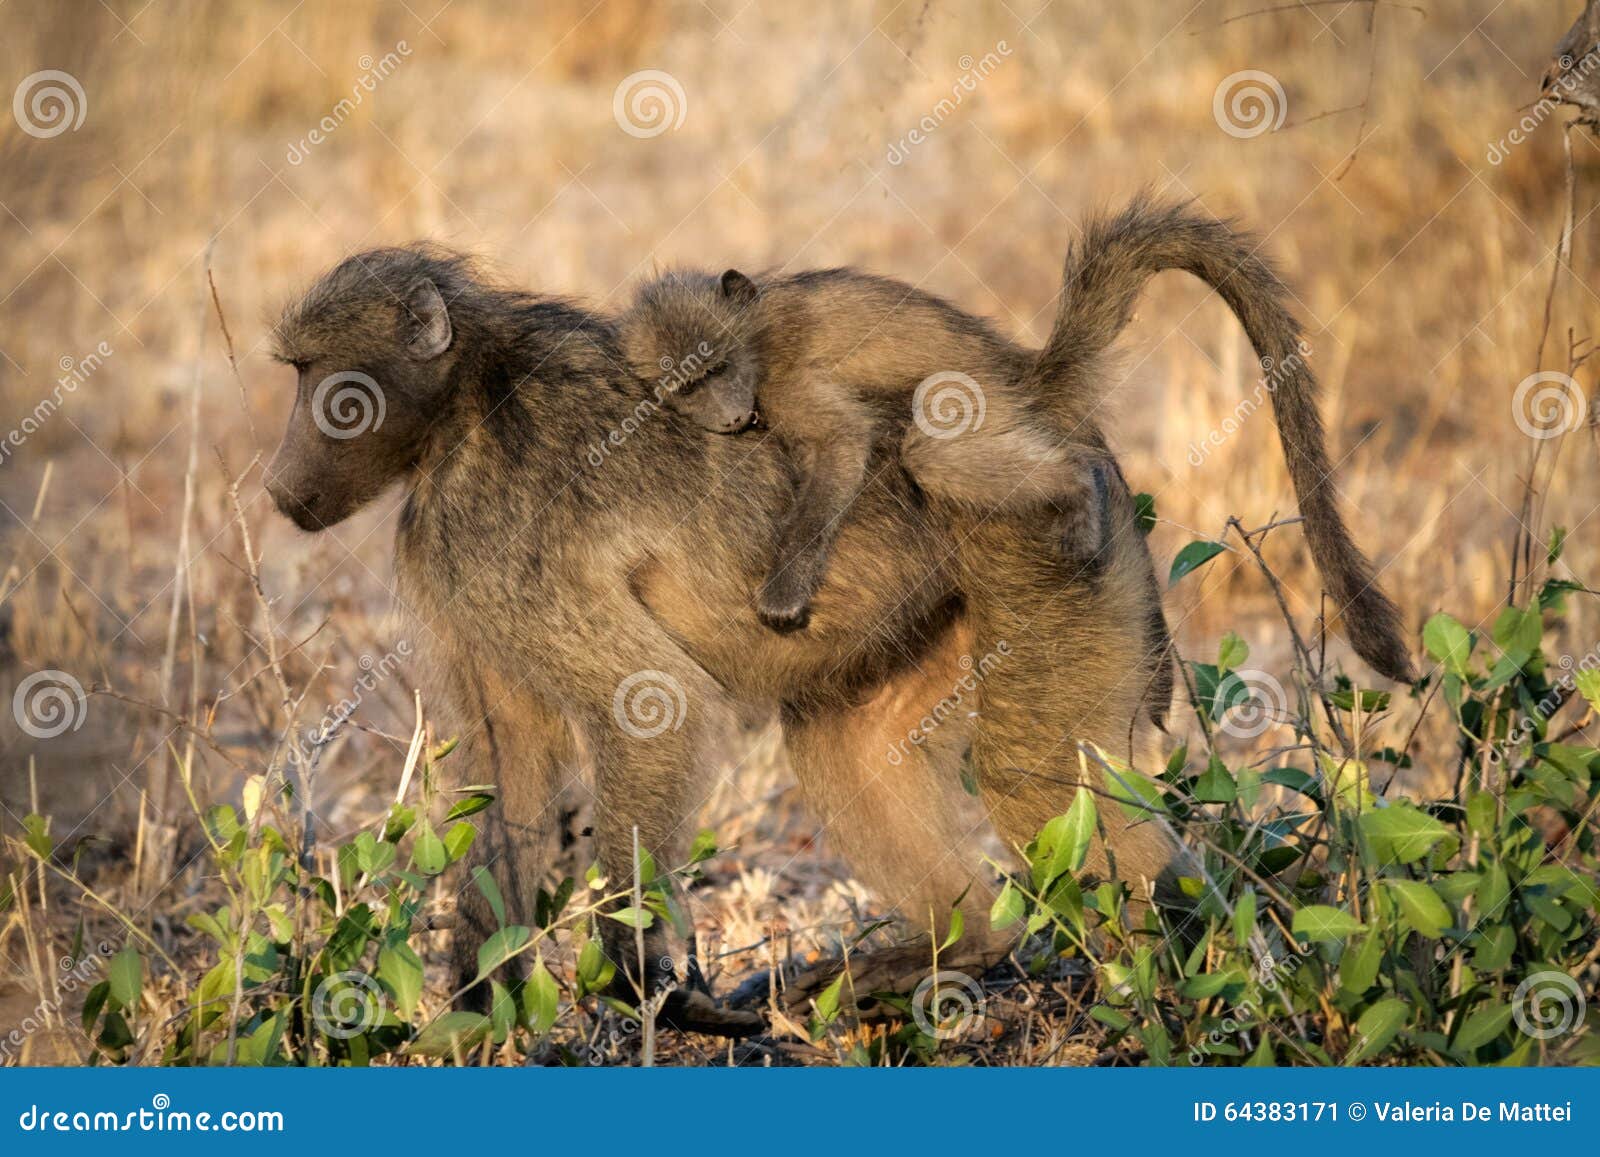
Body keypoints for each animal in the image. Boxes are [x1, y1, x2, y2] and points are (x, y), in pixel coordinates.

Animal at [617, 269, 1111, 634]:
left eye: (718, 368)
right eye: (688, 388)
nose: (731, 418)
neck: (756, 335)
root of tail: (1018, 370)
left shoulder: (784, 381)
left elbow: (841, 438)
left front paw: (783, 591)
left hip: (984, 397)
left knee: (931, 456)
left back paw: (1076, 487)